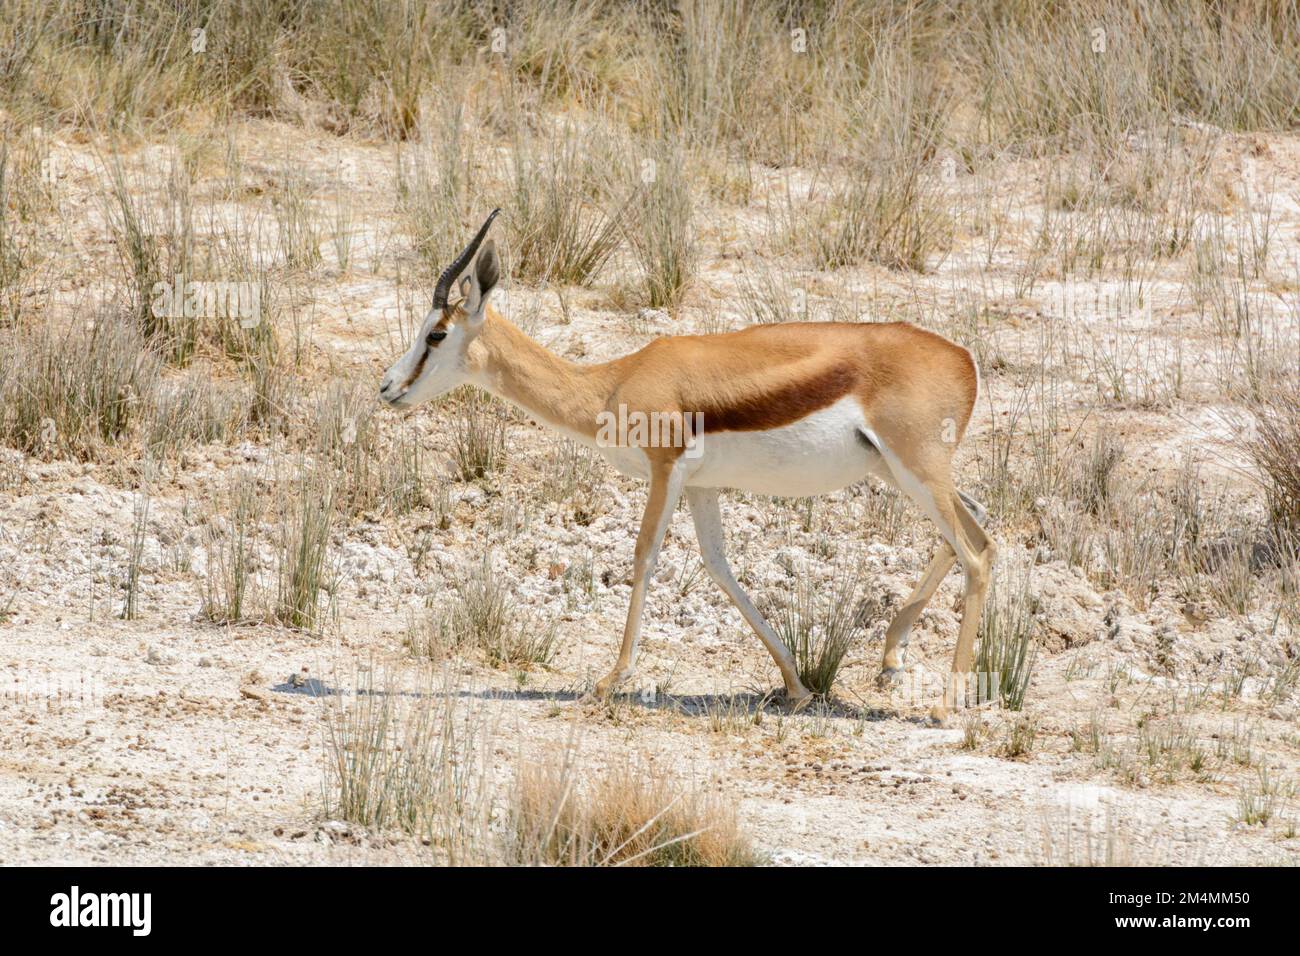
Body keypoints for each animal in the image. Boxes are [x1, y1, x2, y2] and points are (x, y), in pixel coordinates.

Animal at [379, 211, 995, 719]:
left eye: (436, 333)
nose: (387, 387)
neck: (613, 383)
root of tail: (964, 358)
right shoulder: (704, 486)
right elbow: (719, 567)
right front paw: (797, 685)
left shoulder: (665, 470)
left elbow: (644, 556)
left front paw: (609, 681)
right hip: (897, 471)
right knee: (975, 524)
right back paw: (891, 660)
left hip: (915, 469)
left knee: (978, 552)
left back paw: (945, 705)